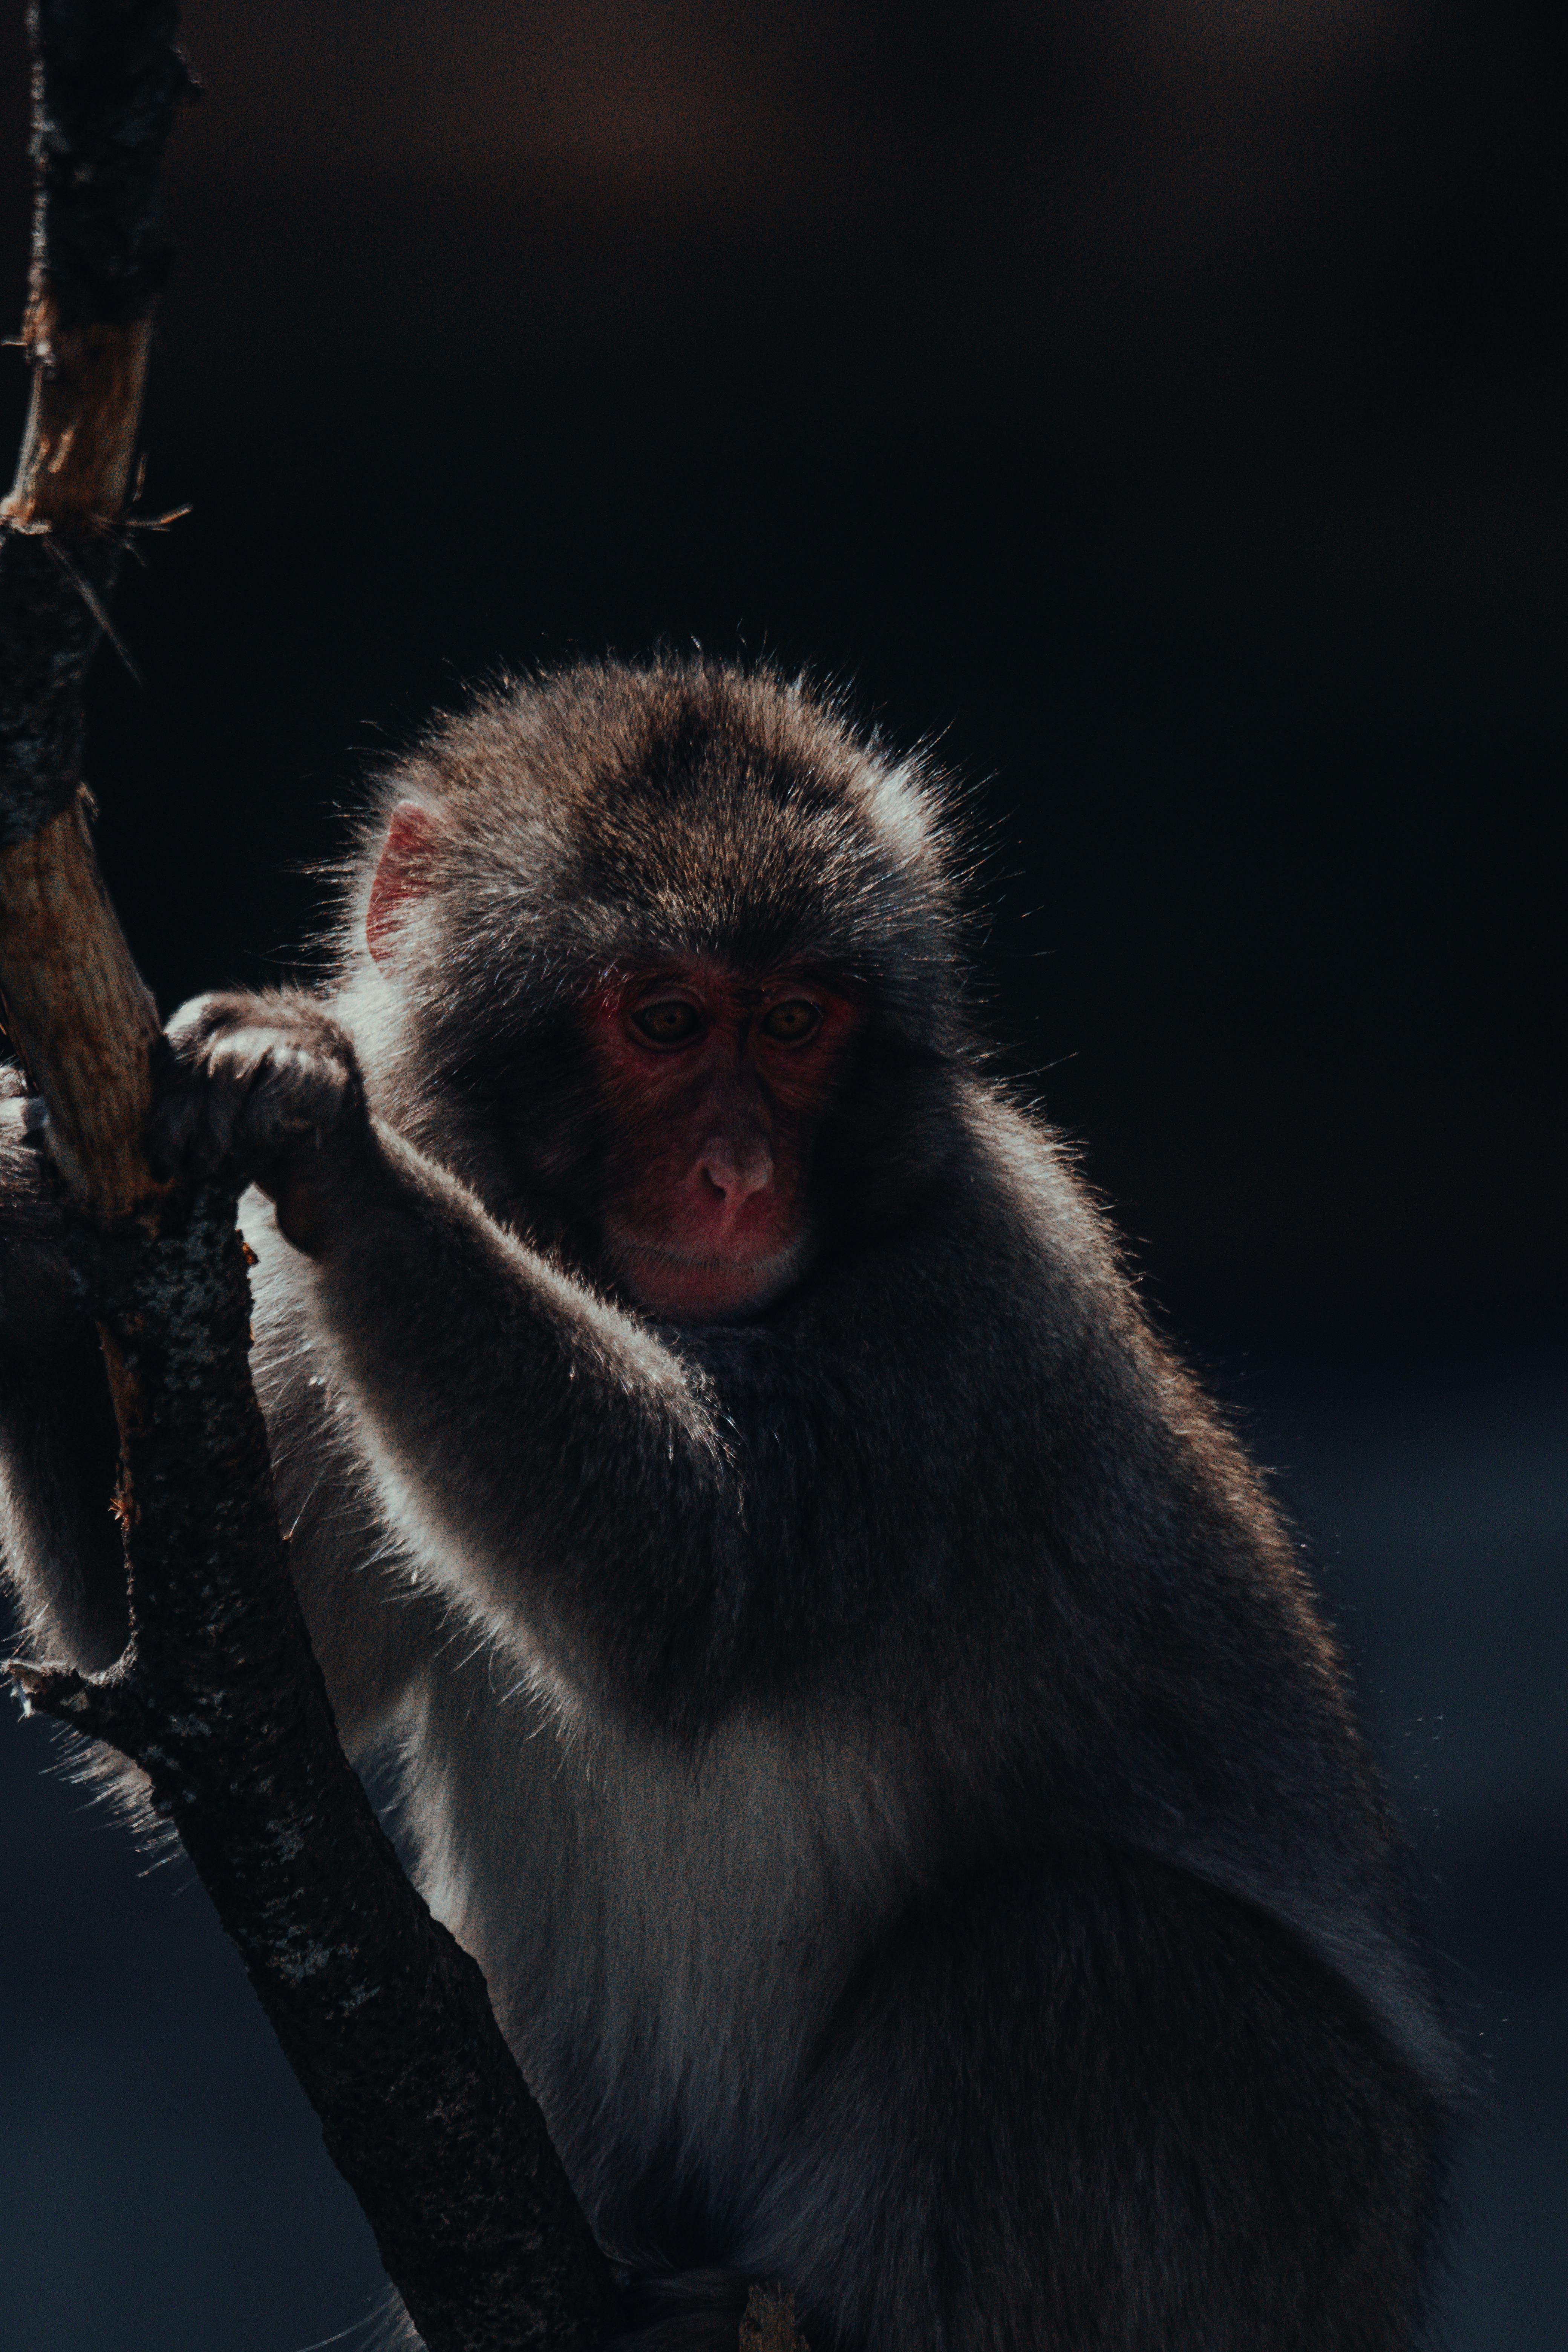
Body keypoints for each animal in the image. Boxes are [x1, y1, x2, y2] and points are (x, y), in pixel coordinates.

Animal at [1, 658, 1455, 2351]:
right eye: (666, 1020)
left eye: (797, 1023)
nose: (740, 1178)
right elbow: (246, 1684)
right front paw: (33, 1198)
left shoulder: (985, 1304)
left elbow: (697, 1588)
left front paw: (329, 1139)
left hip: (1301, 2217)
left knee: (1082, 1941)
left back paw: (811, 2305)